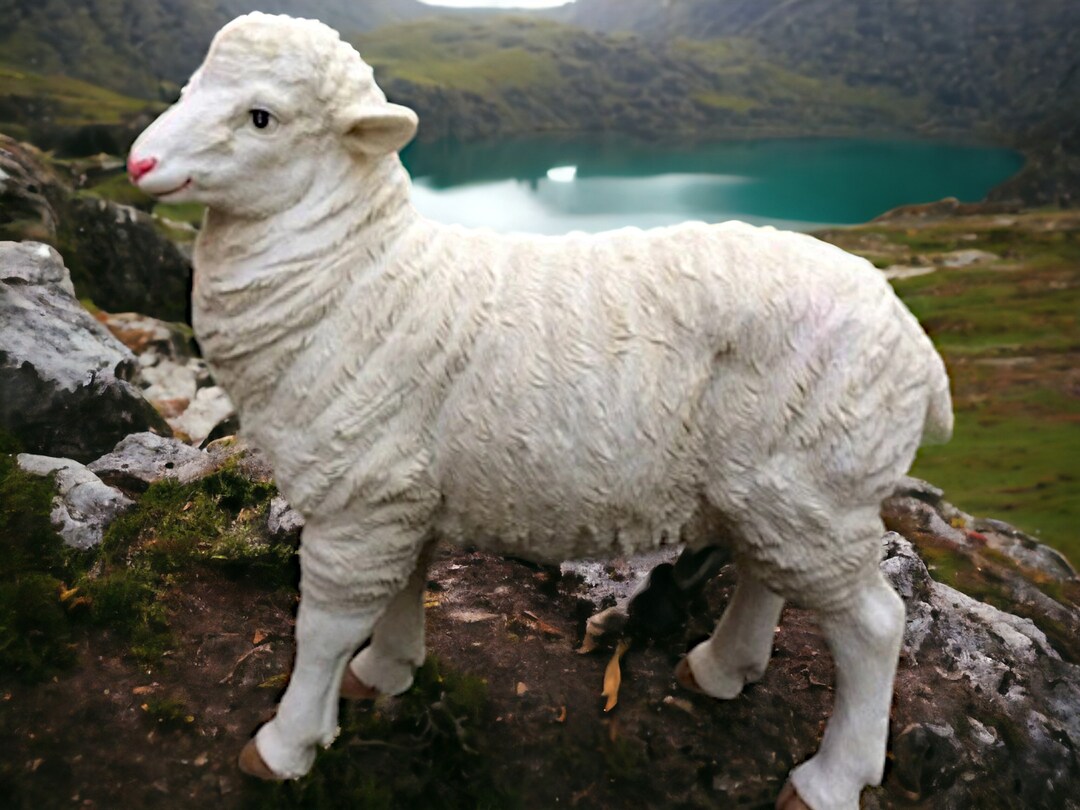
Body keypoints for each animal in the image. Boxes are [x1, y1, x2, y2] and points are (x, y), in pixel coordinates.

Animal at [128, 13, 953, 810]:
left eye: (262, 117)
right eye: (191, 84)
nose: (138, 164)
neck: (359, 272)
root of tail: (916, 343)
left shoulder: (360, 496)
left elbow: (325, 625)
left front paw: (285, 744)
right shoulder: (400, 494)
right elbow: (404, 587)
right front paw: (387, 670)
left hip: (815, 487)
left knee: (875, 628)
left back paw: (830, 780)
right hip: (780, 488)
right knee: (767, 573)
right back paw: (721, 668)